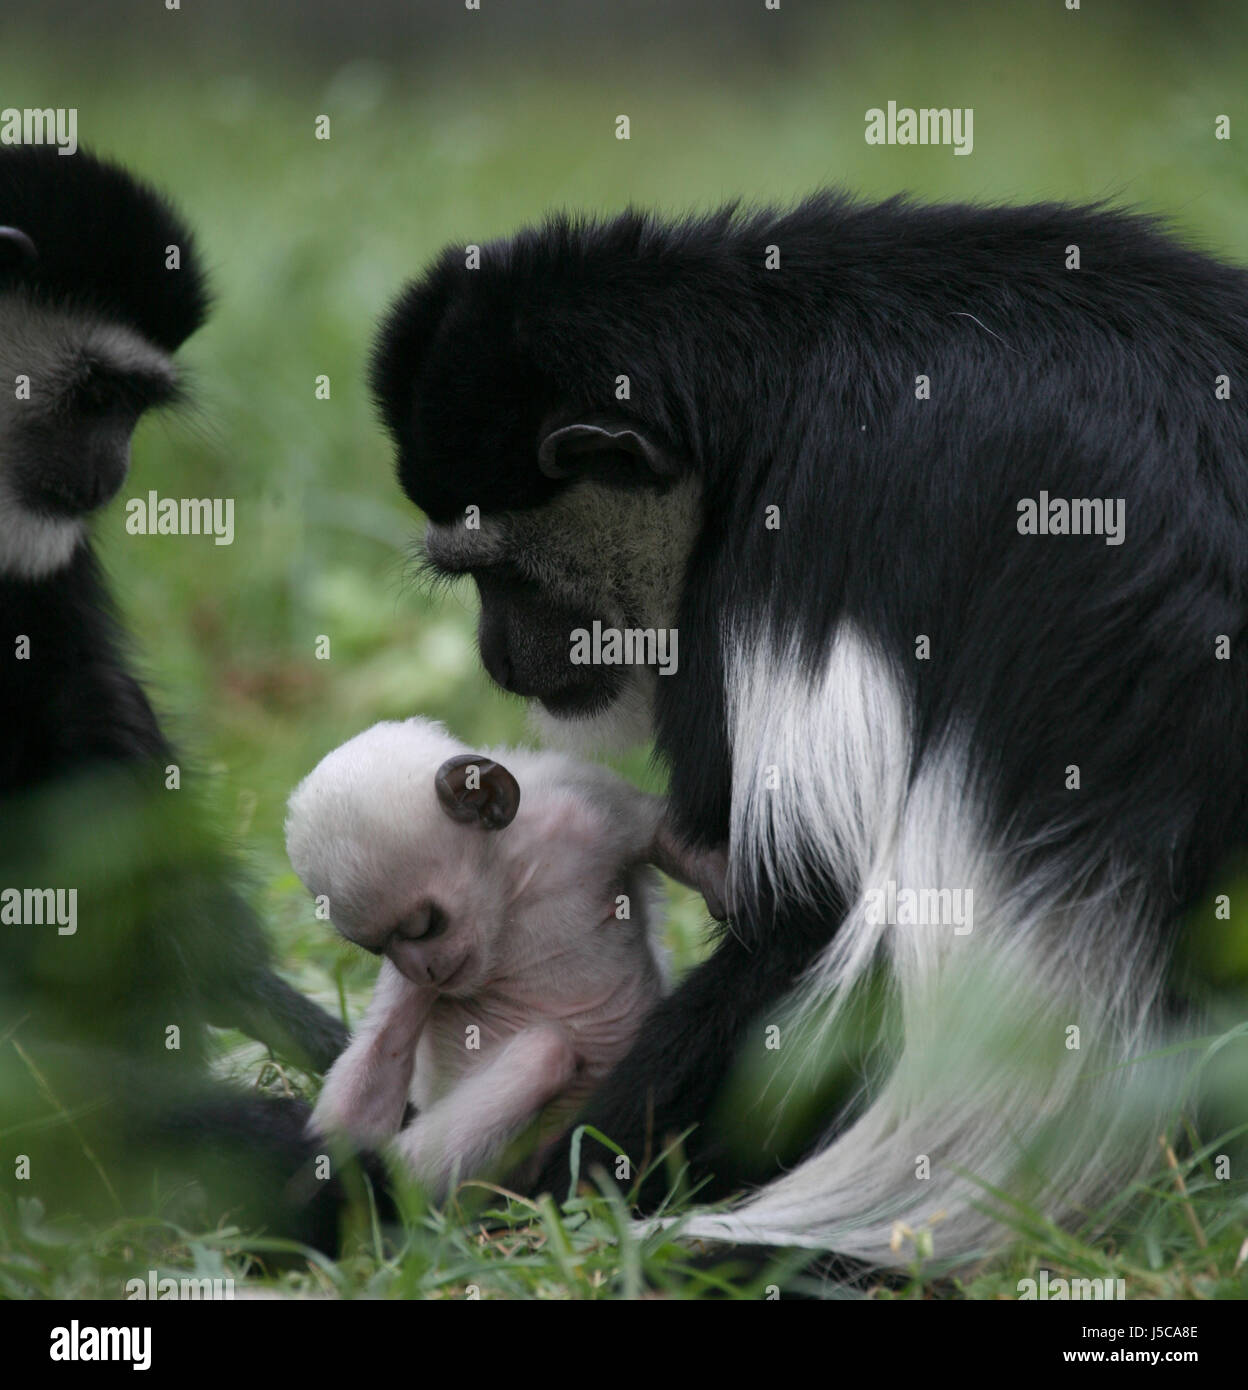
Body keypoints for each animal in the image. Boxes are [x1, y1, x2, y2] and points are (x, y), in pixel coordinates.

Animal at [285, 717, 727, 1197]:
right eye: (380, 948)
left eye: (425, 925)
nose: (423, 969)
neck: (511, 884)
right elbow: (382, 1053)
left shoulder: (588, 804)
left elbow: (664, 834)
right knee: (545, 1052)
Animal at [368, 194, 1248, 1267]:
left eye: (506, 574)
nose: (499, 659)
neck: (753, 395)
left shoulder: (788, 564)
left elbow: (807, 916)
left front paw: (556, 1183)